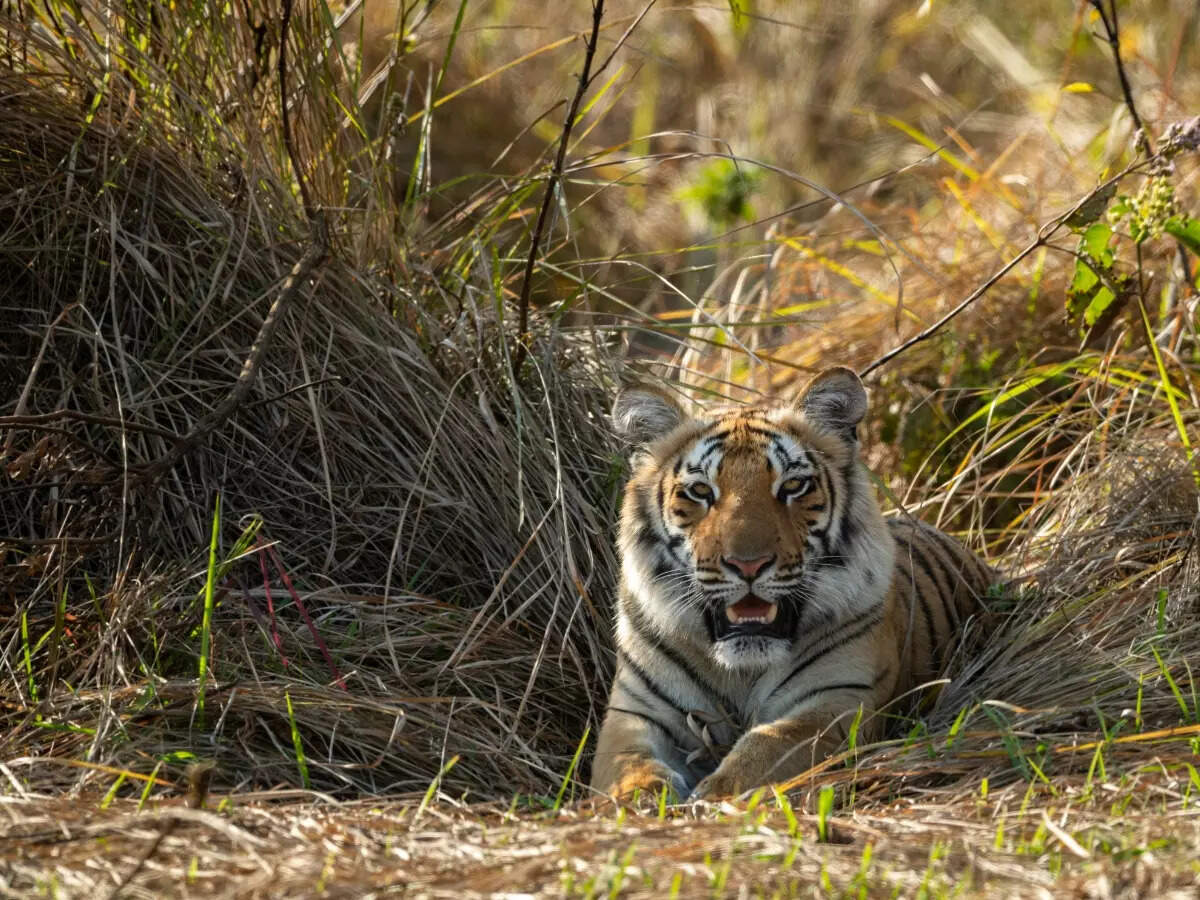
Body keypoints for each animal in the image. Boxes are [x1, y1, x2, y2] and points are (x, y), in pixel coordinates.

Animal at [590, 366, 995, 802]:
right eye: (700, 491)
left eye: (792, 487)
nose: (747, 564)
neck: (741, 671)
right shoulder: (632, 716)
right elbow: (629, 772)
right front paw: (642, 802)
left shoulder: (838, 700)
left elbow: (766, 747)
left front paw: (715, 798)